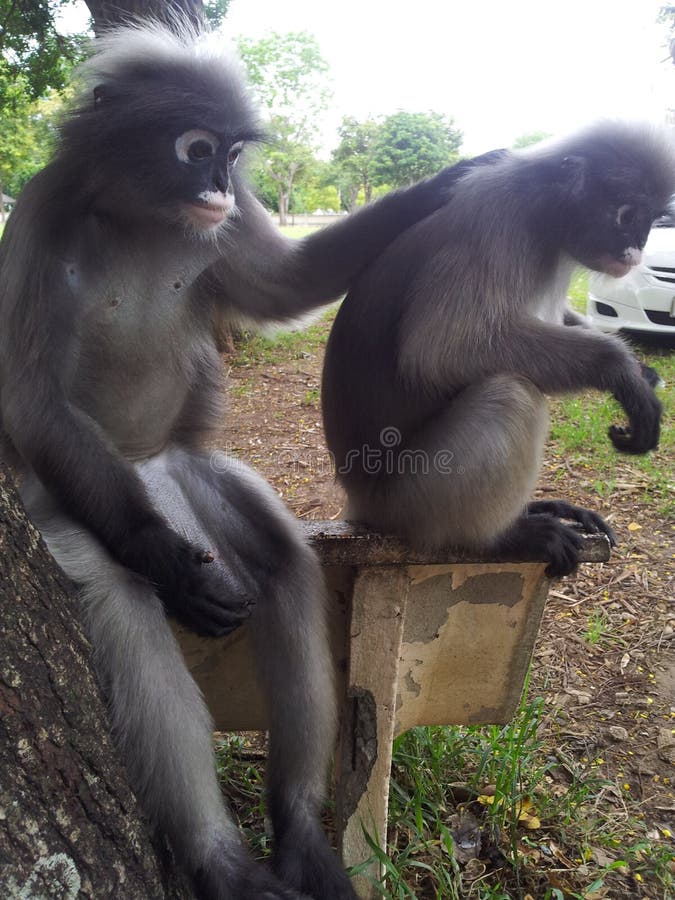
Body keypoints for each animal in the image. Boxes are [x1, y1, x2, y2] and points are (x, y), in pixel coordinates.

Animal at [0, 22, 484, 900]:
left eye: (231, 154)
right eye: (197, 149)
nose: (223, 185)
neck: (139, 220)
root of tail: (148, 473)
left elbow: (288, 284)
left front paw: (449, 183)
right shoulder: (38, 220)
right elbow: (34, 404)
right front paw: (166, 563)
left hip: (194, 474)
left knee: (286, 568)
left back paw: (295, 835)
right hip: (72, 502)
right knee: (125, 601)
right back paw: (223, 862)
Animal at [322, 122, 675, 576]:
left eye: (651, 219)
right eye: (629, 215)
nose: (639, 247)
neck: (542, 210)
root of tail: (360, 497)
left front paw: (642, 370)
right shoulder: (496, 222)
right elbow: (438, 351)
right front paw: (621, 370)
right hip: (412, 497)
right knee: (511, 394)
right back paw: (502, 536)